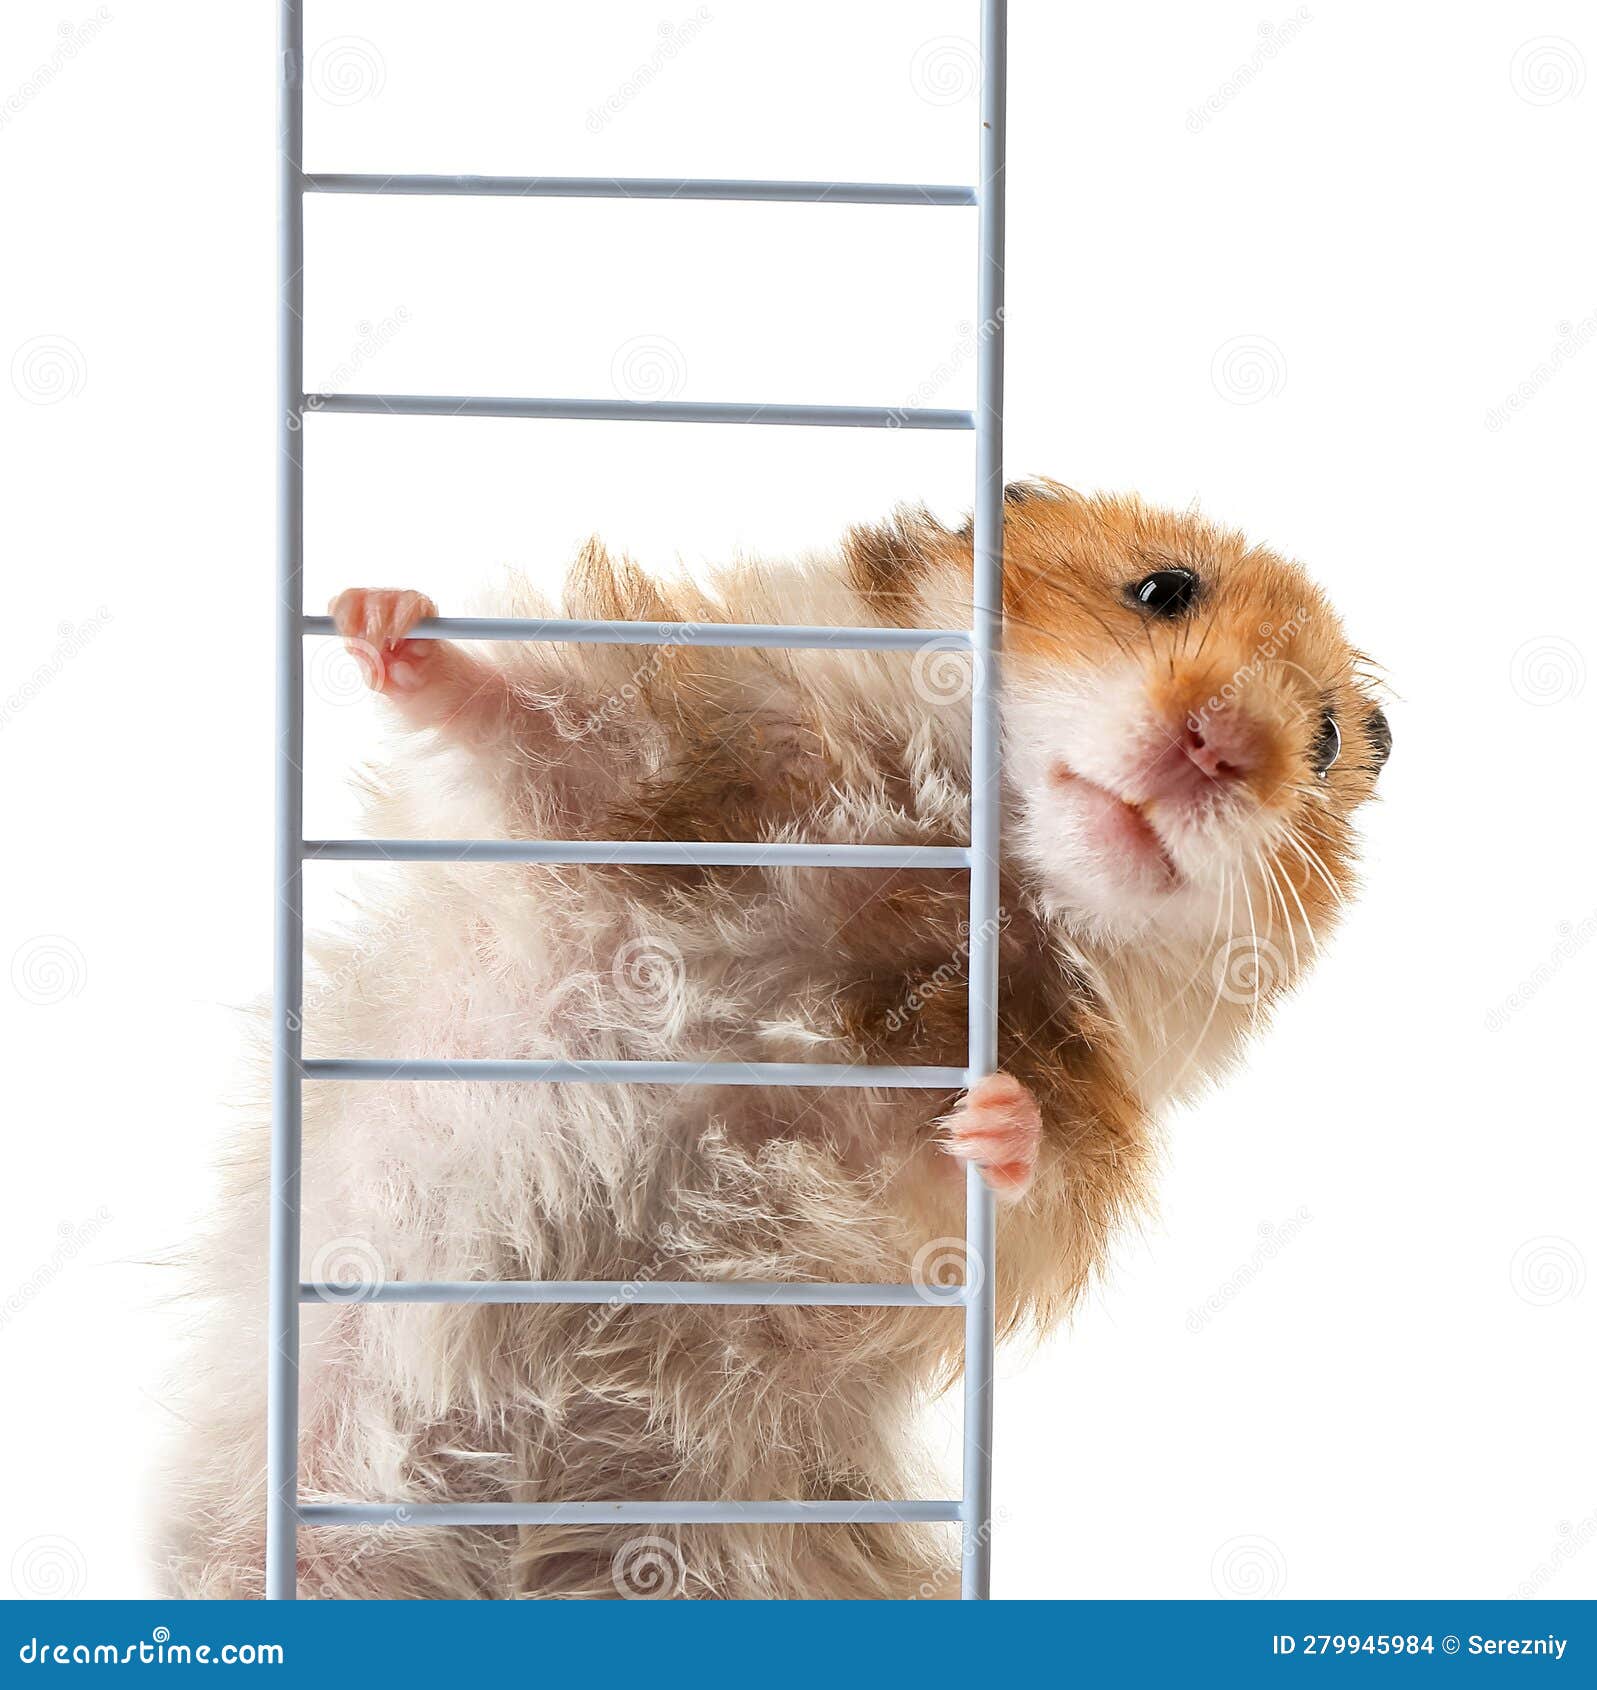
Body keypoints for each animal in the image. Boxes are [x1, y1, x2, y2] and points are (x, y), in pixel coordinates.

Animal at [161, 482, 1390, 1600]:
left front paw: (993, 1114)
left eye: (1328, 741)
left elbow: (1000, 1180)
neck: (974, 877)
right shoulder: (663, 779)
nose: (1225, 745)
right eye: (1162, 589)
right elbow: (528, 729)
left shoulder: (952, 1172)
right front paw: (380, 617)